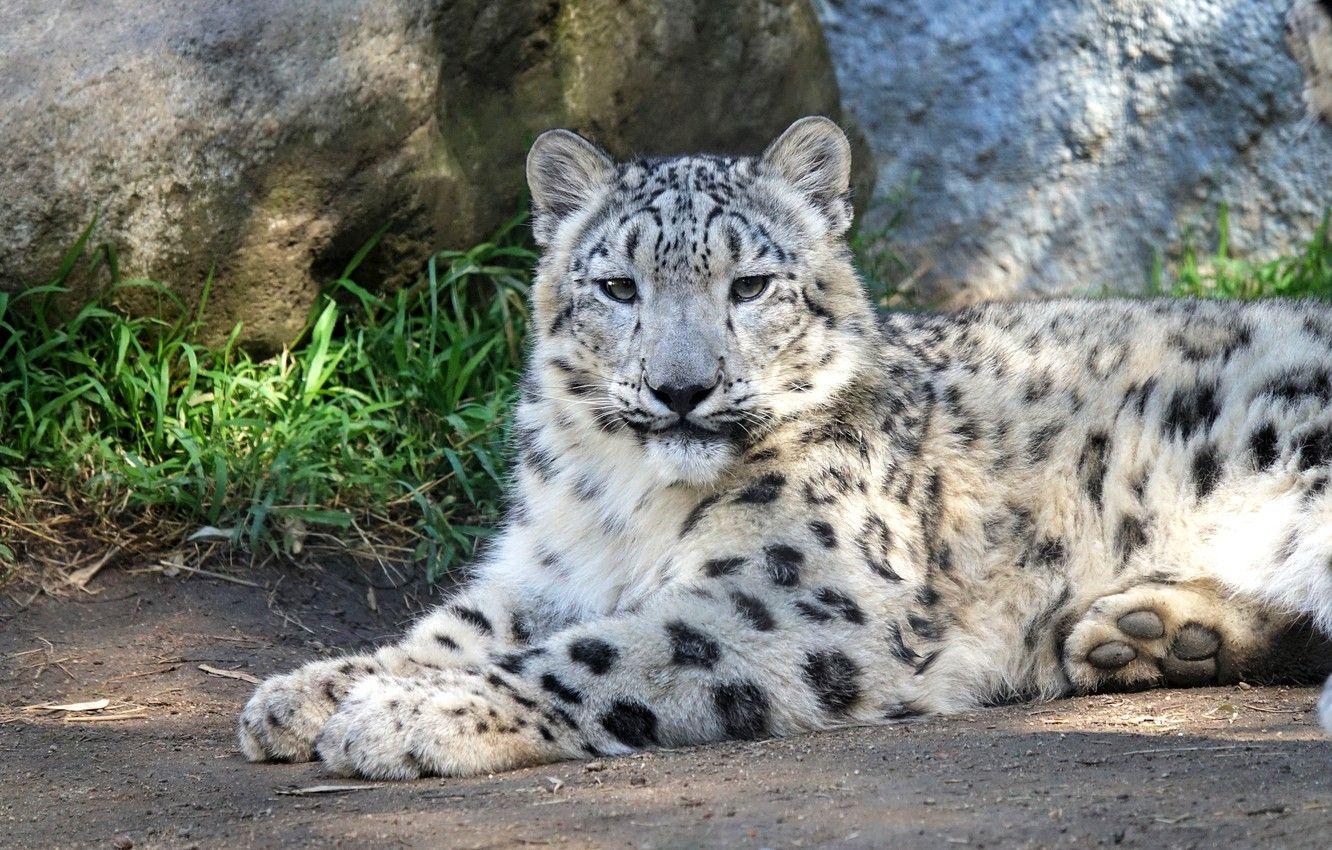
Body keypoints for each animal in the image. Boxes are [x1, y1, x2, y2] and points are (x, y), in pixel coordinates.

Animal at [239, 117, 1332, 779]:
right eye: (619, 286)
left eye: (751, 284)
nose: (682, 388)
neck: (628, 504)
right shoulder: (544, 568)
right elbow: (456, 628)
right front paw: (305, 692)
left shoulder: (803, 592)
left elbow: (599, 655)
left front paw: (401, 716)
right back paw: (1149, 632)